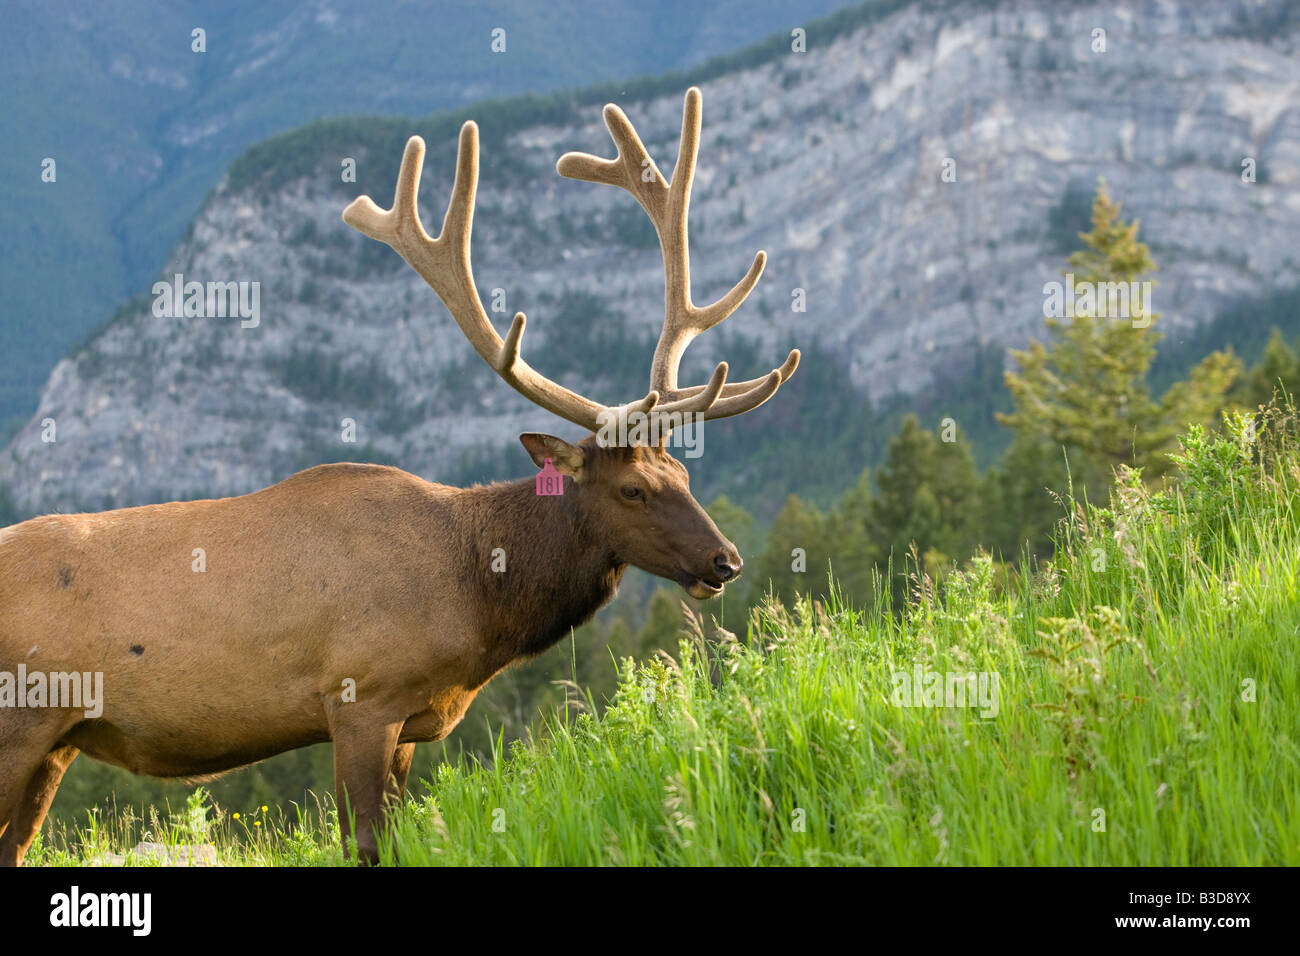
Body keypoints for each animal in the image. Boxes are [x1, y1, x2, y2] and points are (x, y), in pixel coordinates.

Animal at [0, 87, 798, 865]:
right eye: (633, 490)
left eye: (685, 474)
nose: (724, 561)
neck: (476, 598)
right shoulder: (361, 696)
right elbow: (365, 841)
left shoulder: (412, 719)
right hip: (21, 718)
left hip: (56, 742)